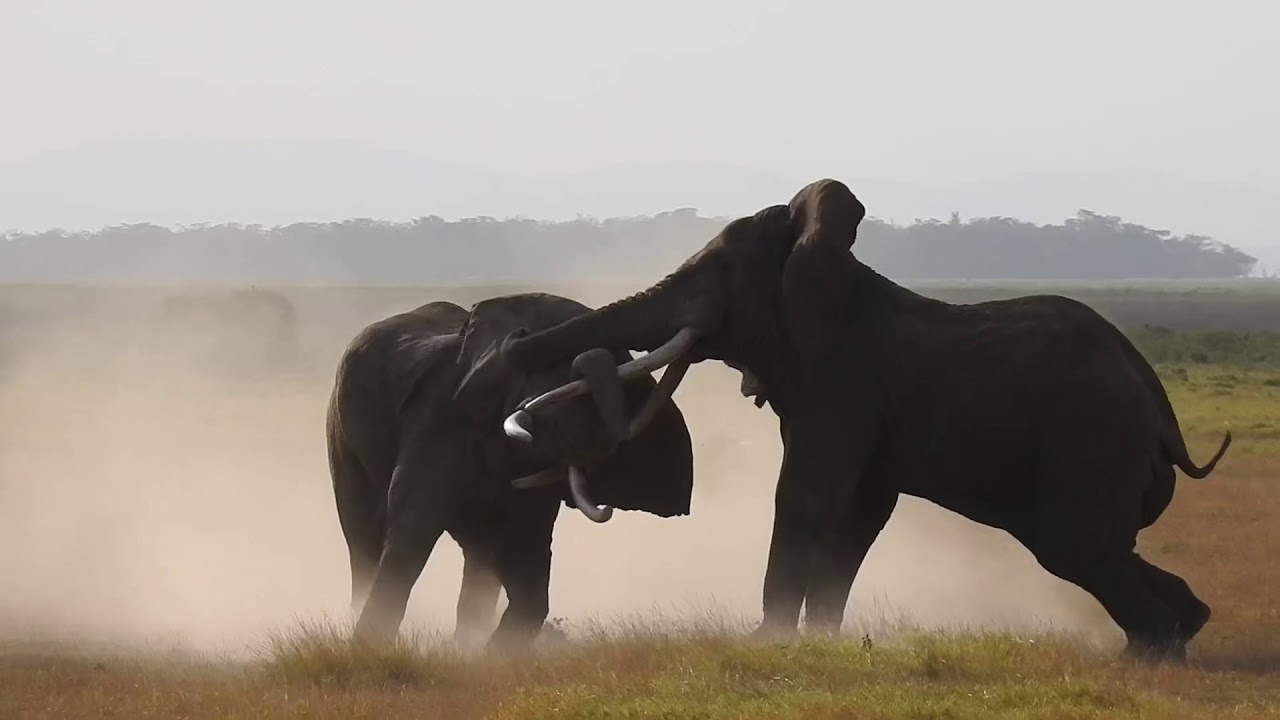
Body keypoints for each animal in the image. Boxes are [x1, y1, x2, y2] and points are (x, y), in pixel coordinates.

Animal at [326, 293, 693, 649]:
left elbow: (528, 551)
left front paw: (493, 659)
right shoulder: (439, 420)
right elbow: (413, 527)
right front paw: (367, 650)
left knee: (479, 557)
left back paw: (467, 644)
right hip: (341, 434)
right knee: (363, 534)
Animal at [479, 179, 1231, 663]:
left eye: (720, 269)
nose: (512, 344)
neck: (824, 262)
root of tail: (1161, 414)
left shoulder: (840, 389)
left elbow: (807, 496)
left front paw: (768, 643)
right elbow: (860, 513)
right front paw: (820, 643)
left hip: (1090, 443)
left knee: (1076, 548)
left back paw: (1152, 654)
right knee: (1096, 547)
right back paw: (1184, 627)